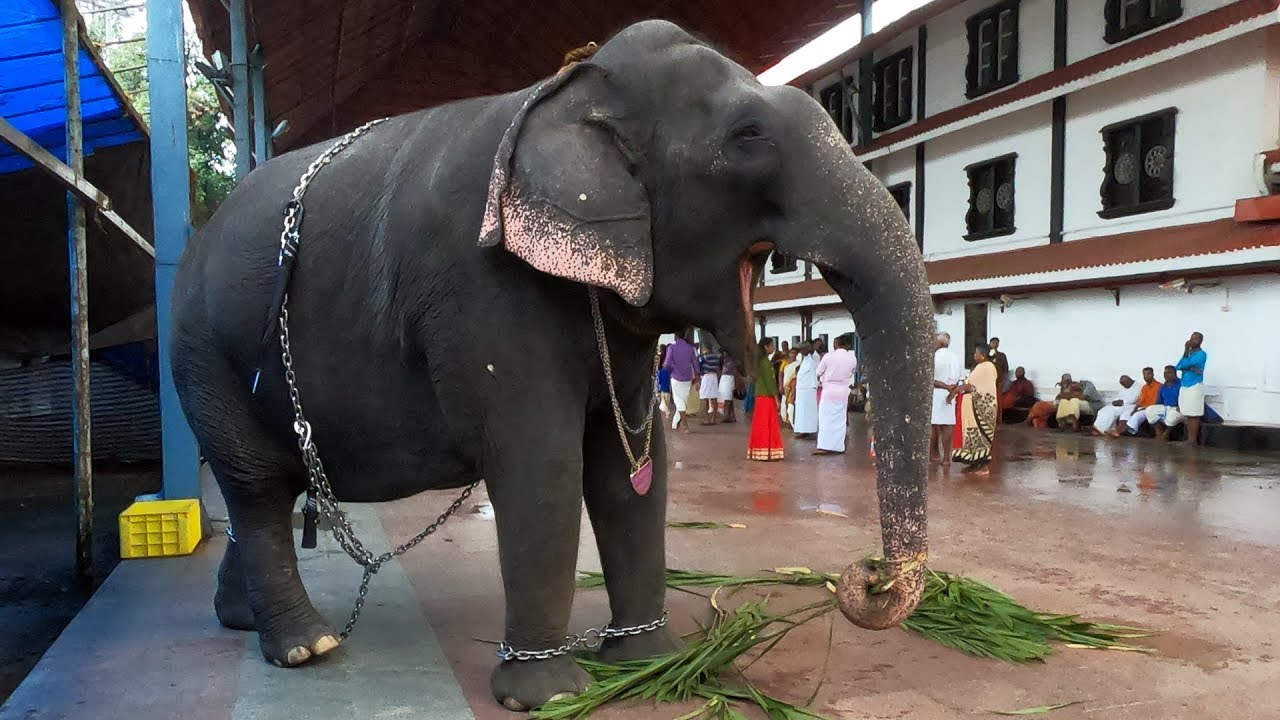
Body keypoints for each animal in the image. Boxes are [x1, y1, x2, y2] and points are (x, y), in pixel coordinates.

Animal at [170, 18, 932, 712]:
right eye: (748, 137)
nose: (865, 579)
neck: (572, 90)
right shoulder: (486, 291)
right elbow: (543, 464)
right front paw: (550, 694)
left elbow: (632, 467)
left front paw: (647, 662)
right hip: (204, 356)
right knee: (257, 488)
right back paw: (309, 647)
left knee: (266, 486)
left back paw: (243, 621)